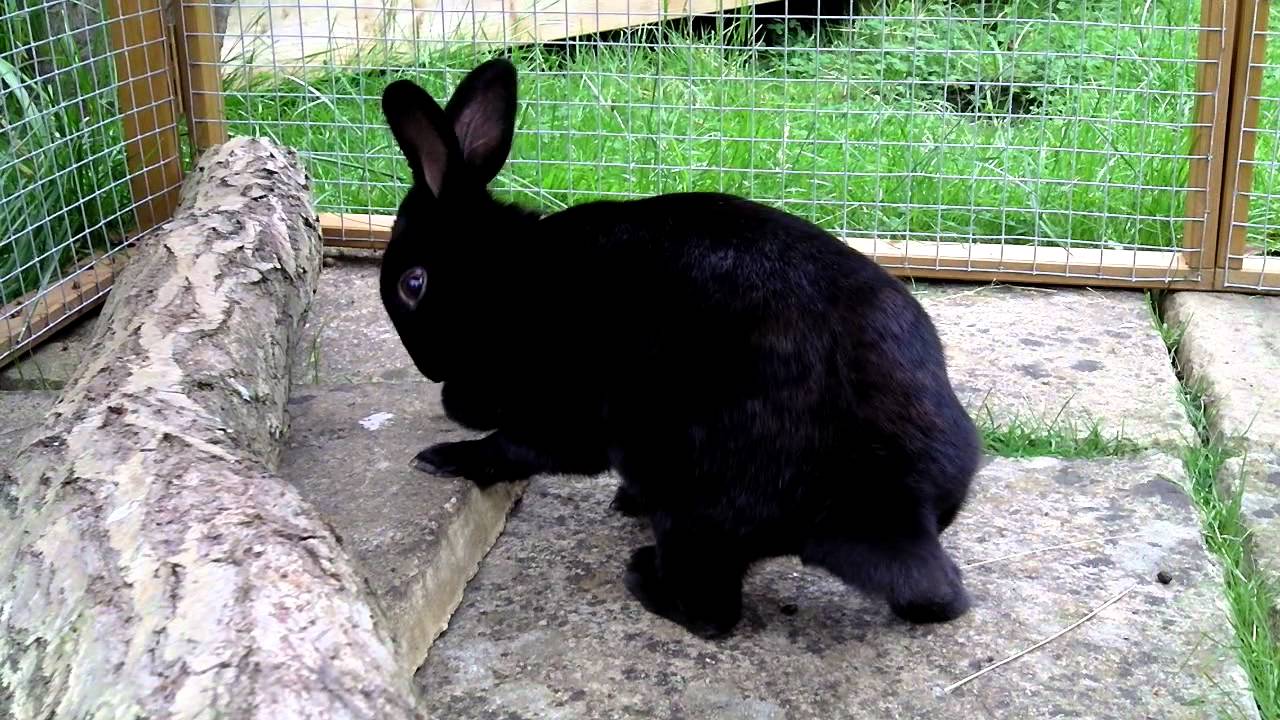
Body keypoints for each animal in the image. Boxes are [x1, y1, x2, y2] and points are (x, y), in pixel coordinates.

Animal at [378, 58, 981, 639]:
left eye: (413, 284)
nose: (427, 368)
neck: (507, 278)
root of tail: (890, 508)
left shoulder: (560, 408)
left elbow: (513, 446)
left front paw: (442, 456)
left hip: (690, 503)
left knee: (712, 611)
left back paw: (642, 576)